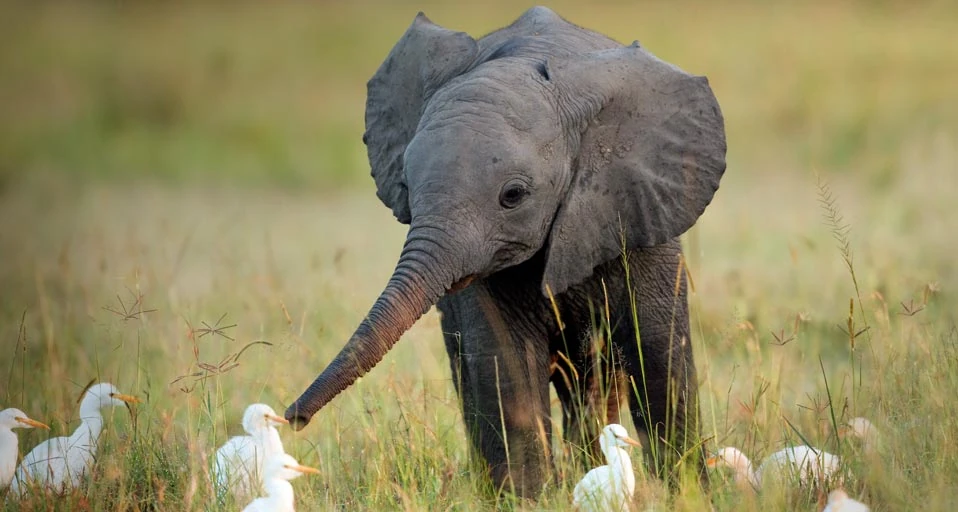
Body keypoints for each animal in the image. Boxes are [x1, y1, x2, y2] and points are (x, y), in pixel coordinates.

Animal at [286, 6, 726, 498]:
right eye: (405, 186)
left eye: (512, 196)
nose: (293, 418)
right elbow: (505, 362)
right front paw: (528, 499)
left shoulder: (639, 209)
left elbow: (659, 352)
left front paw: (690, 494)